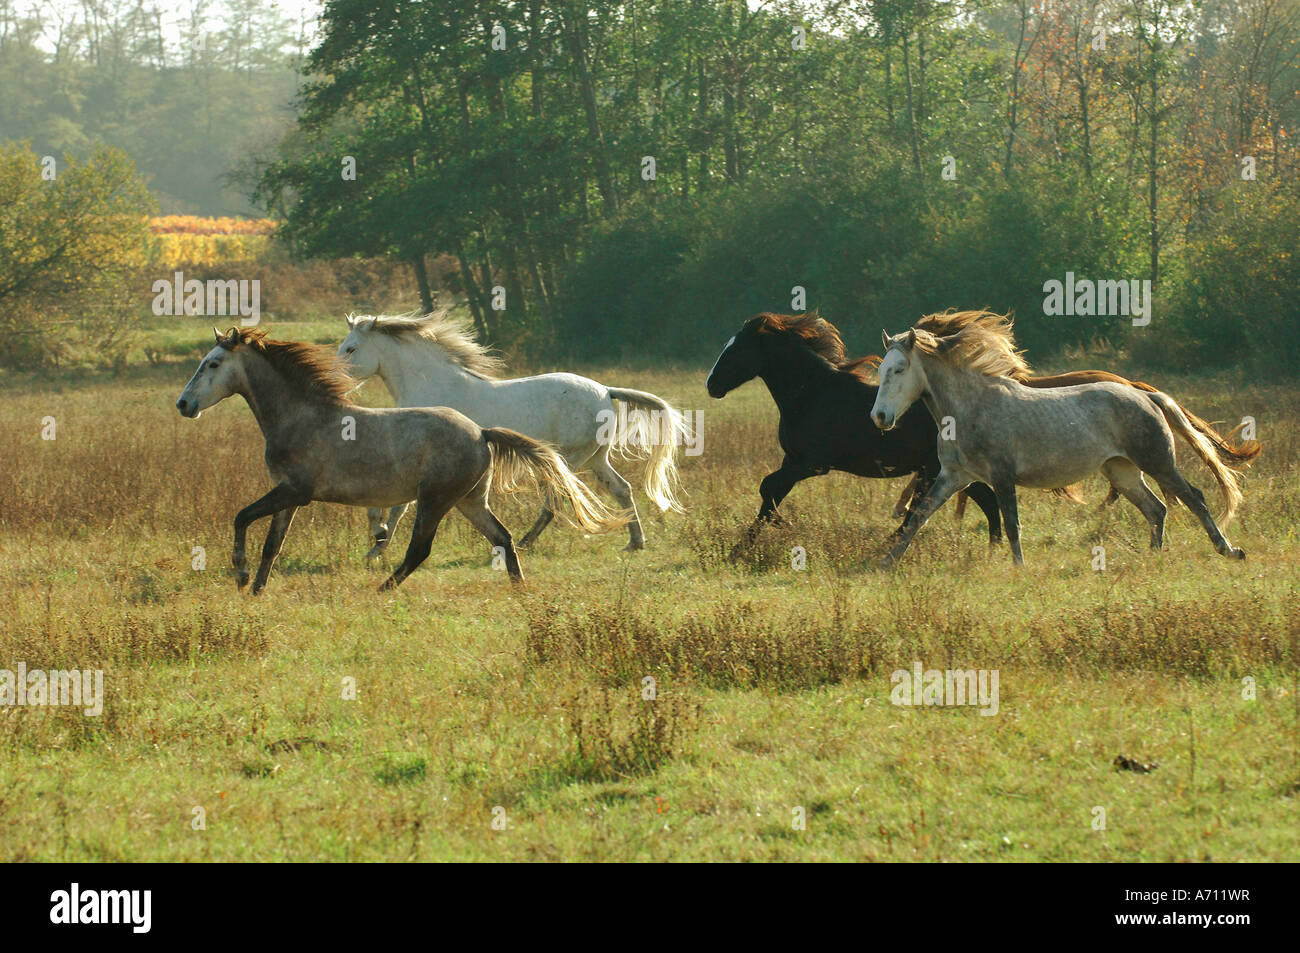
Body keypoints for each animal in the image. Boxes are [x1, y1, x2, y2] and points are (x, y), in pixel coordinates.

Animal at [175, 327, 627, 593]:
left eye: (213, 363)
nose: (183, 404)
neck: (301, 415)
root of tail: (481, 432)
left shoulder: (294, 491)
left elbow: (242, 517)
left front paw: (240, 574)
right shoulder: (288, 495)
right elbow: (272, 544)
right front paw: (256, 589)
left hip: (435, 500)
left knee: (420, 549)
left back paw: (382, 588)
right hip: (469, 501)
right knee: (503, 538)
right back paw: (520, 591)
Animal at [337, 311, 687, 557]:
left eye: (351, 349)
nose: (333, 378)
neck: (431, 384)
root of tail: (604, 390)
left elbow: (398, 505)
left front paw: (377, 544)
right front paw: (377, 537)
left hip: (569, 458)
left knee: (556, 499)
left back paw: (525, 541)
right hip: (595, 459)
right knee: (622, 489)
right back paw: (635, 542)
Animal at [705, 311, 1005, 561]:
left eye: (737, 349)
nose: (711, 385)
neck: (811, 394)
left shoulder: (812, 464)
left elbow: (767, 487)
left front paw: (784, 525)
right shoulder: (791, 460)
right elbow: (771, 495)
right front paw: (739, 549)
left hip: (935, 468)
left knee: (928, 508)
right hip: (950, 470)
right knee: (986, 500)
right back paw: (994, 550)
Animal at [869, 311, 1247, 566]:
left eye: (899, 369)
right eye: (881, 369)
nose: (880, 417)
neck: (971, 407)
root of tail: (1146, 395)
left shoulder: (1001, 477)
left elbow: (1012, 525)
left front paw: (1019, 568)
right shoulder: (953, 476)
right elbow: (919, 515)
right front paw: (887, 561)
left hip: (1158, 461)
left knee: (1194, 498)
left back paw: (1229, 550)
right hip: (1121, 470)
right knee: (1157, 508)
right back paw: (1154, 556)